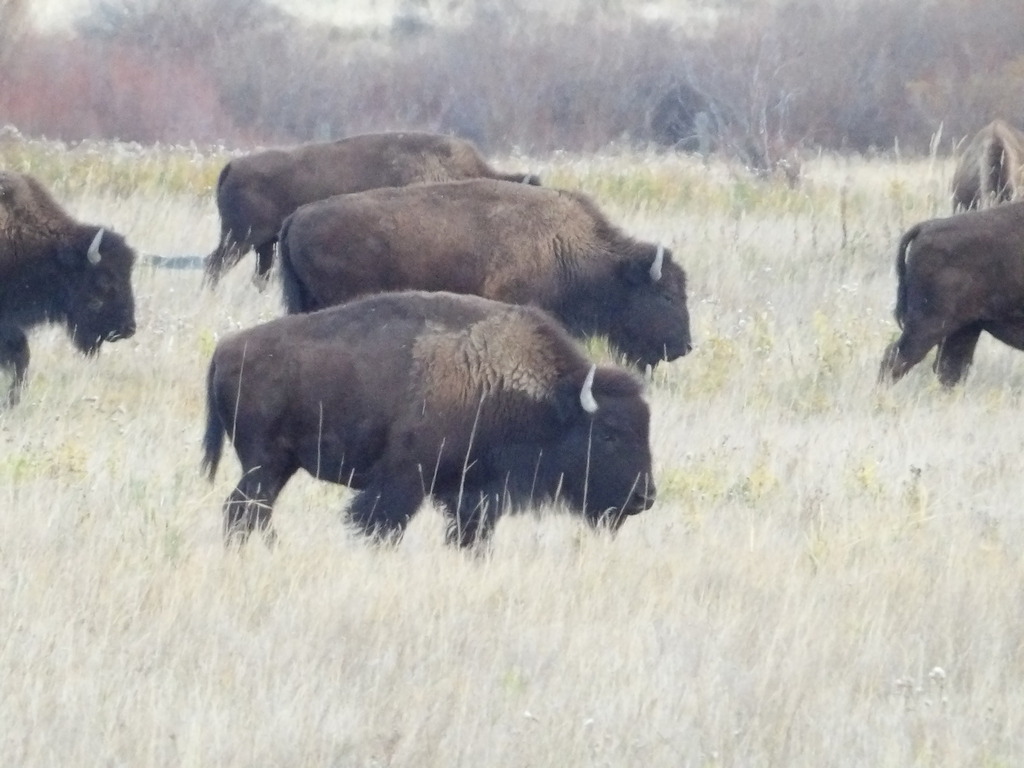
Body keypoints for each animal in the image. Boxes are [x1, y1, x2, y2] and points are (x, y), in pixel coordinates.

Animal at [202, 291, 656, 548]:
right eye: (609, 435)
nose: (644, 497)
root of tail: (226, 348)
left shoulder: (474, 494)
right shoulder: (405, 481)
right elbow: (380, 524)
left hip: (278, 466)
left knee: (251, 512)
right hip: (265, 463)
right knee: (243, 510)